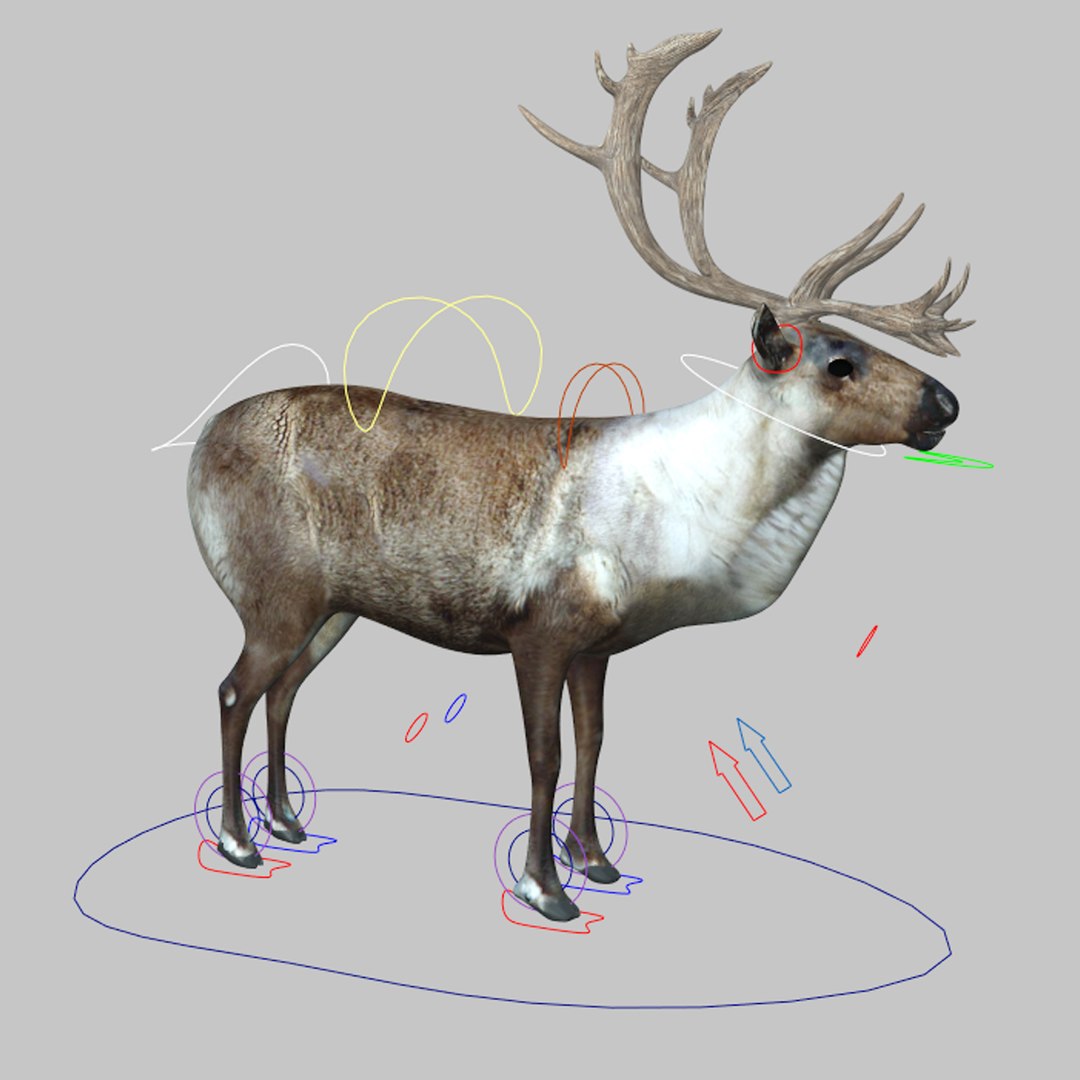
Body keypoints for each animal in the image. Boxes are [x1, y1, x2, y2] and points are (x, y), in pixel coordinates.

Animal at [187, 29, 971, 922]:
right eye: (841, 362)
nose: (946, 401)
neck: (681, 522)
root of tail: (199, 445)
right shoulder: (541, 627)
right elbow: (546, 754)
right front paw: (545, 887)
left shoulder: (601, 645)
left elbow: (595, 743)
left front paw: (596, 861)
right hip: (274, 591)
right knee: (234, 690)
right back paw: (239, 841)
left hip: (334, 607)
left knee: (283, 691)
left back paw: (287, 821)